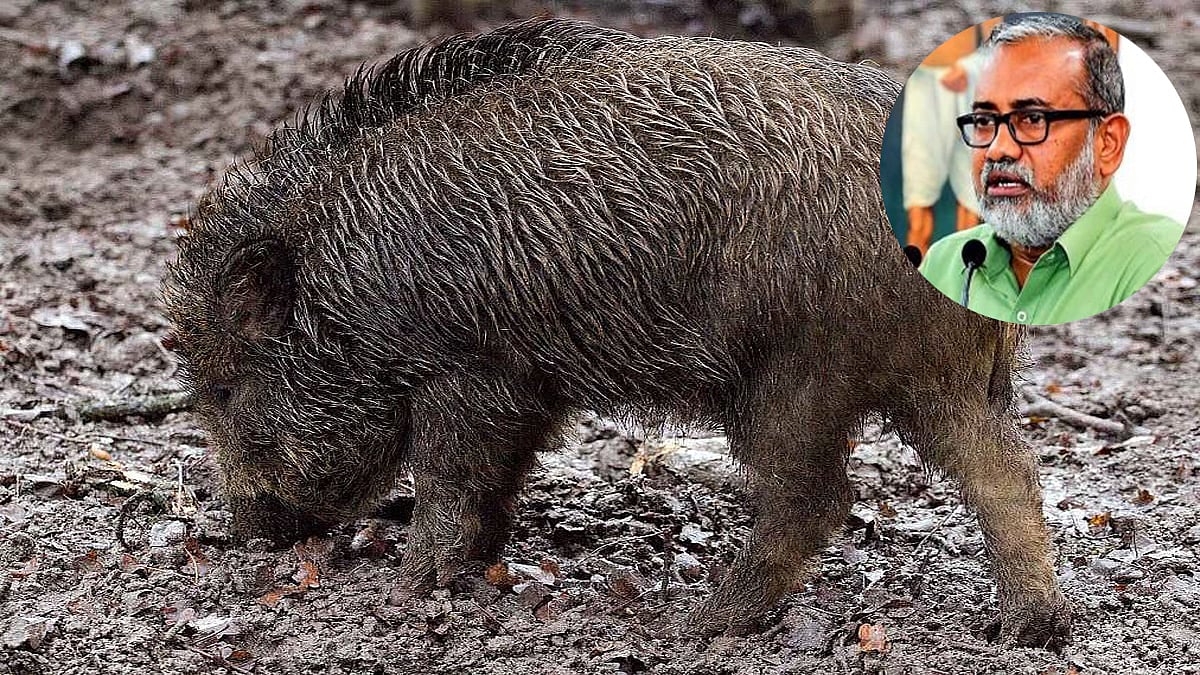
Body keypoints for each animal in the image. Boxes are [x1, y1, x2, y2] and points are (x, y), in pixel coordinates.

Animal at [162, 18, 1070, 647]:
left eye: (223, 386)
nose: (241, 532)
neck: (346, 284)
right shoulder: (526, 383)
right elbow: (496, 481)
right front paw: (472, 568)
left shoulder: (464, 370)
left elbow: (449, 479)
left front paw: (410, 588)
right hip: (933, 373)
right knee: (1005, 472)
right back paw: (1025, 630)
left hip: (797, 372)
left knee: (816, 497)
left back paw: (703, 623)